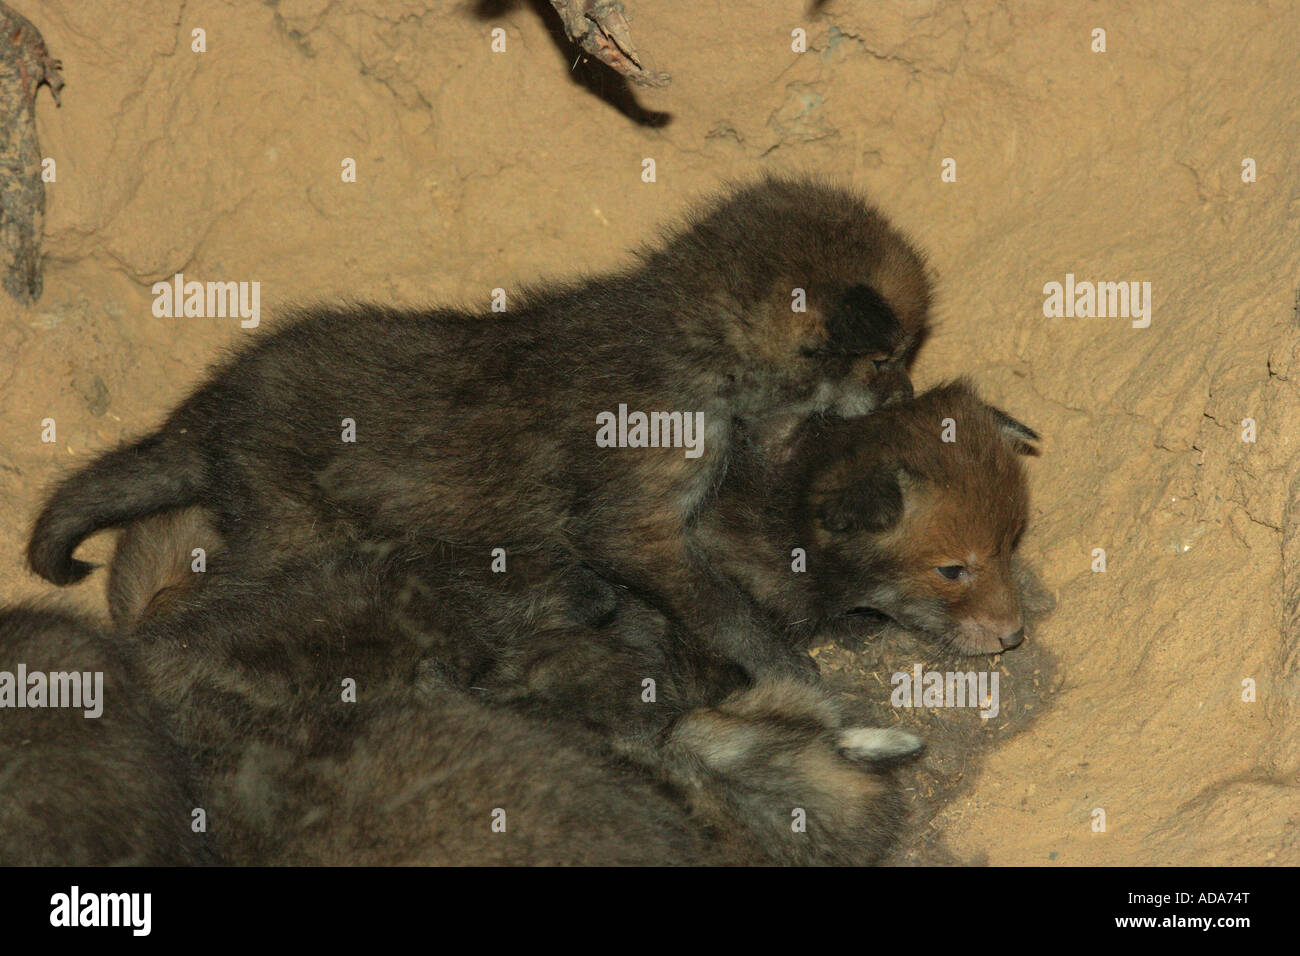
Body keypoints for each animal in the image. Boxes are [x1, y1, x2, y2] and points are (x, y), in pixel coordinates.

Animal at [28, 176, 930, 682]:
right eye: (886, 358)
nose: (910, 393)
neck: (697, 335)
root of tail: (220, 398)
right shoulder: (637, 528)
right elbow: (722, 607)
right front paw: (788, 668)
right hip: (287, 539)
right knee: (188, 612)